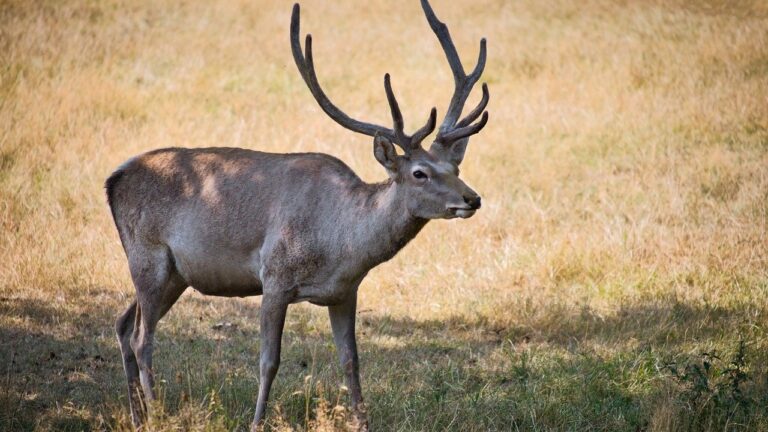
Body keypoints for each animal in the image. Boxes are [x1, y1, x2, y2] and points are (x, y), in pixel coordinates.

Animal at [106, 1, 489, 430]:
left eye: (455, 167)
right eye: (419, 172)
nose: (472, 198)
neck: (341, 247)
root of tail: (114, 179)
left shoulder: (345, 292)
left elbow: (351, 362)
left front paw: (363, 421)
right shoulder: (274, 277)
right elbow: (268, 361)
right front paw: (256, 422)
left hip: (174, 274)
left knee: (123, 324)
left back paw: (137, 415)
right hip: (148, 254)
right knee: (141, 338)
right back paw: (156, 414)